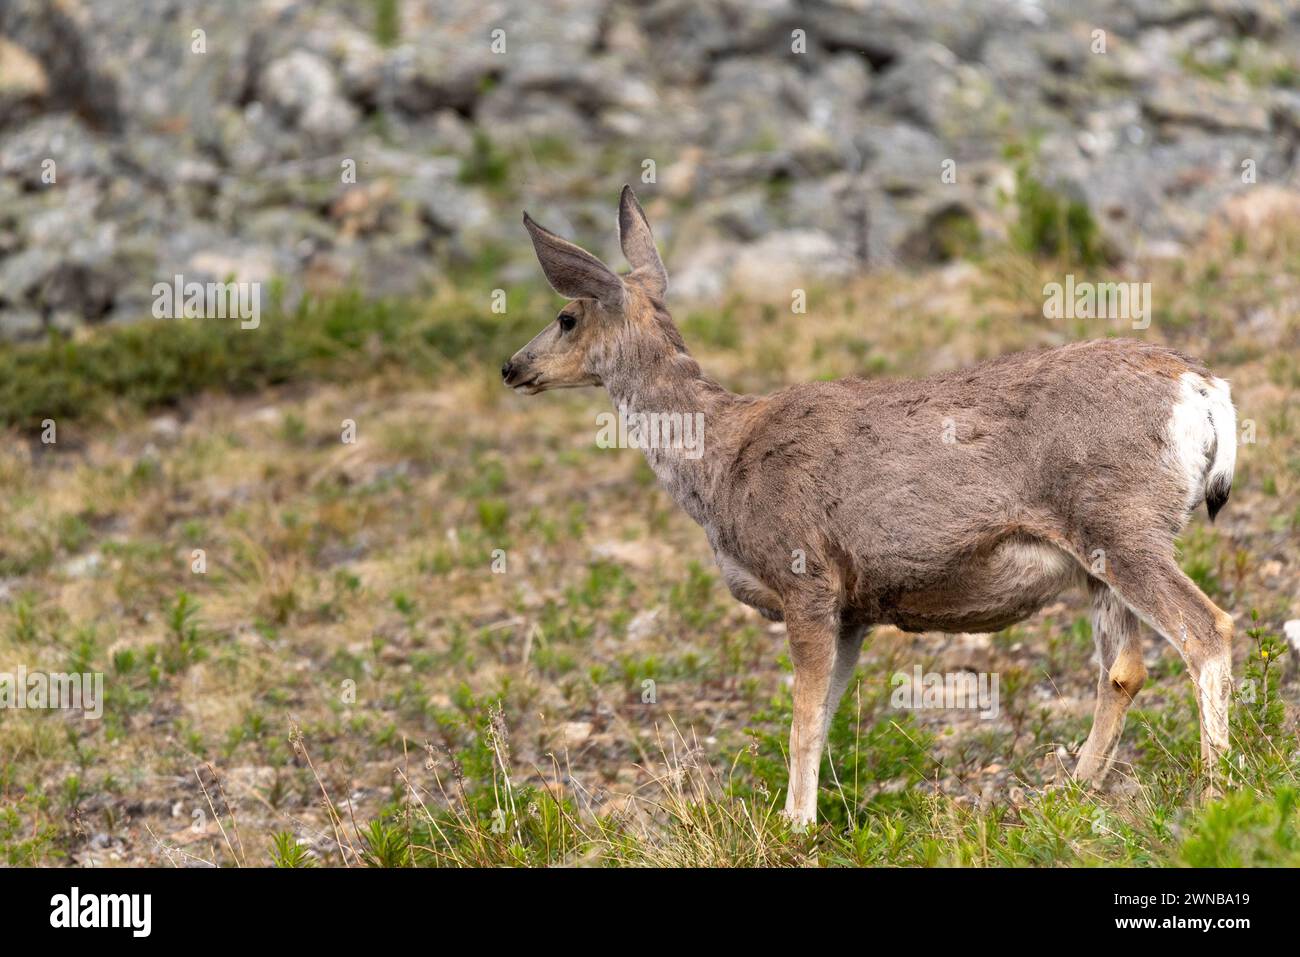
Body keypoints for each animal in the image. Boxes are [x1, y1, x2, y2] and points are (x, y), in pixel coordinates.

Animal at [502, 186, 1238, 828]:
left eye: (566, 317)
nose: (512, 367)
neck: (719, 460)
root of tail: (1203, 388)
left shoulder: (804, 574)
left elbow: (801, 721)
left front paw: (797, 824)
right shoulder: (854, 607)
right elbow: (825, 714)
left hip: (1122, 521)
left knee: (1207, 630)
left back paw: (1215, 789)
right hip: (1099, 554)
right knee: (1124, 668)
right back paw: (1071, 792)